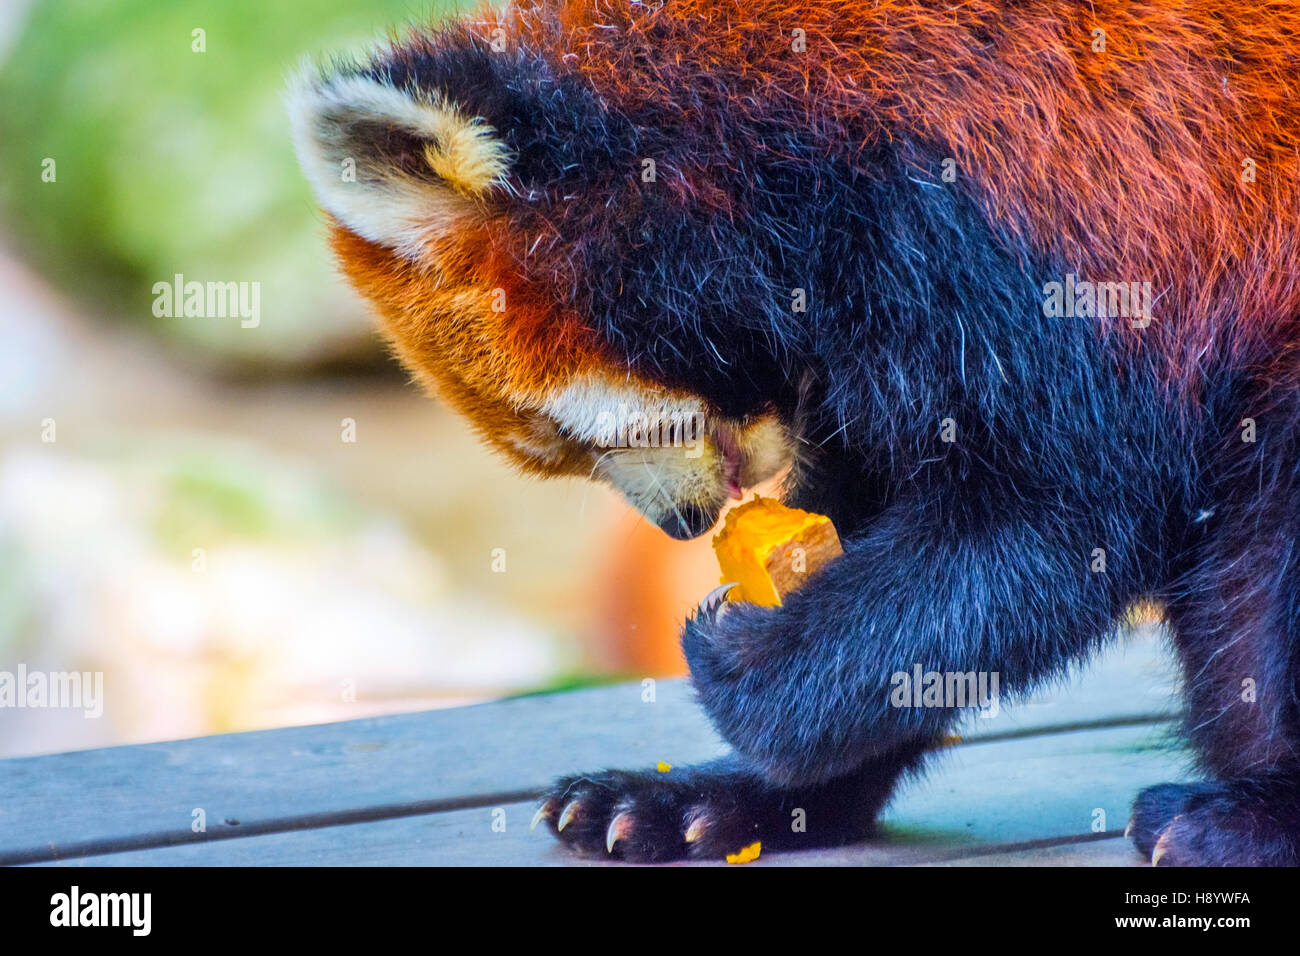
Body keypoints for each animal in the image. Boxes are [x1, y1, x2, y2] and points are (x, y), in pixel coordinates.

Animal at [290, 0, 1300, 864]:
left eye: (575, 439)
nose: (682, 527)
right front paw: (748, 791)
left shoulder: (1033, 216)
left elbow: (1059, 515)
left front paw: (749, 666)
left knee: (1263, 547)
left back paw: (1249, 817)